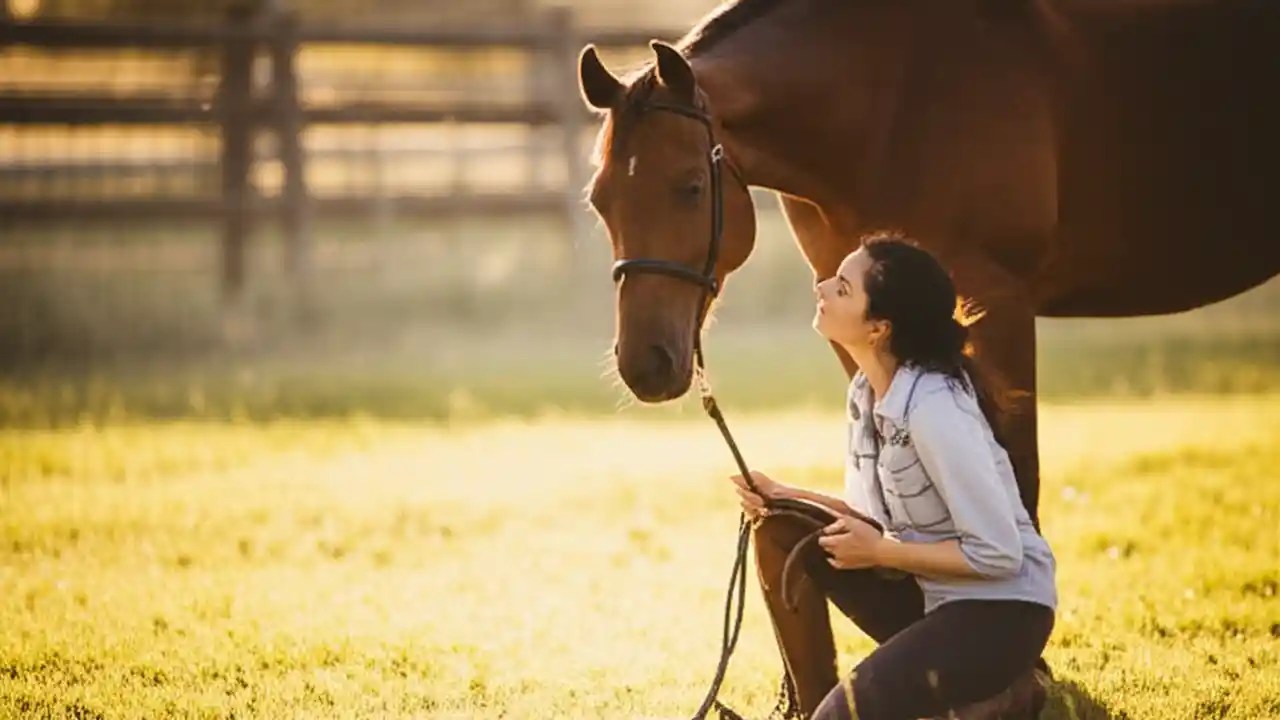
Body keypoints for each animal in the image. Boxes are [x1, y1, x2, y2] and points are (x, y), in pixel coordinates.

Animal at [577, 0, 1279, 715]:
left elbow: (1013, 471)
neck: (889, 100)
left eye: (691, 187)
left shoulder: (993, 300)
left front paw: (1019, 674)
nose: (644, 365)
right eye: (599, 200)